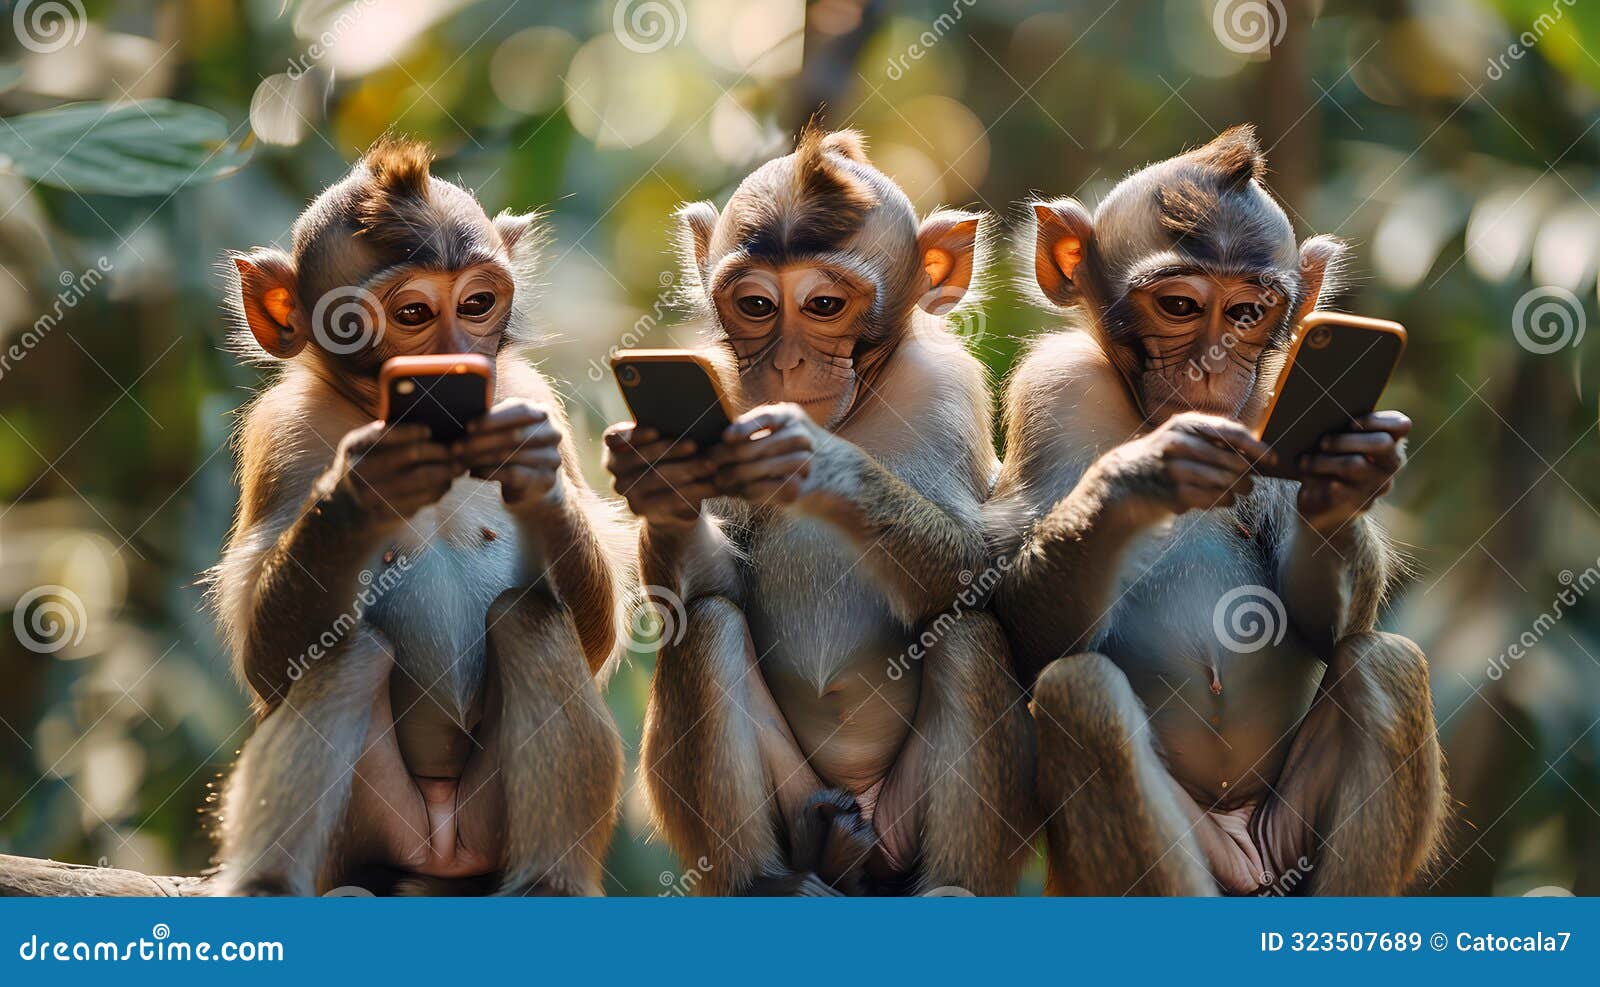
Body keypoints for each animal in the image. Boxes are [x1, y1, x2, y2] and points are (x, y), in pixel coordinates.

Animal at [207, 138, 627, 897]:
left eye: (478, 302)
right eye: (410, 314)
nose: (454, 360)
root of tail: (440, 851)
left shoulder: (530, 392)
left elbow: (594, 633)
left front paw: (537, 476)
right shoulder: (283, 436)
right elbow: (267, 660)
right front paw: (359, 490)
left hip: (485, 832)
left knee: (530, 617)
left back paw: (548, 883)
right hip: (368, 830)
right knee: (351, 649)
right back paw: (267, 883)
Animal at [603, 127, 1036, 895]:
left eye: (825, 305)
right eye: (756, 305)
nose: (787, 363)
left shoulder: (947, 387)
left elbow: (979, 572)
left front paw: (828, 466)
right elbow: (703, 590)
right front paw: (663, 479)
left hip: (900, 828)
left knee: (967, 636)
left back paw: (949, 886)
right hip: (800, 794)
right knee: (709, 624)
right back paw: (774, 872)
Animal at [987, 126, 1447, 896]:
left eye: (1246, 313)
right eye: (1178, 307)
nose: (1213, 363)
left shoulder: (1267, 403)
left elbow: (1330, 626)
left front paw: (1349, 476)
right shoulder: (1057, 386)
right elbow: (1018, 625)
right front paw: (1143, 473)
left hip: (1281, 836)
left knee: (1384, 663)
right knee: (1083, 693)